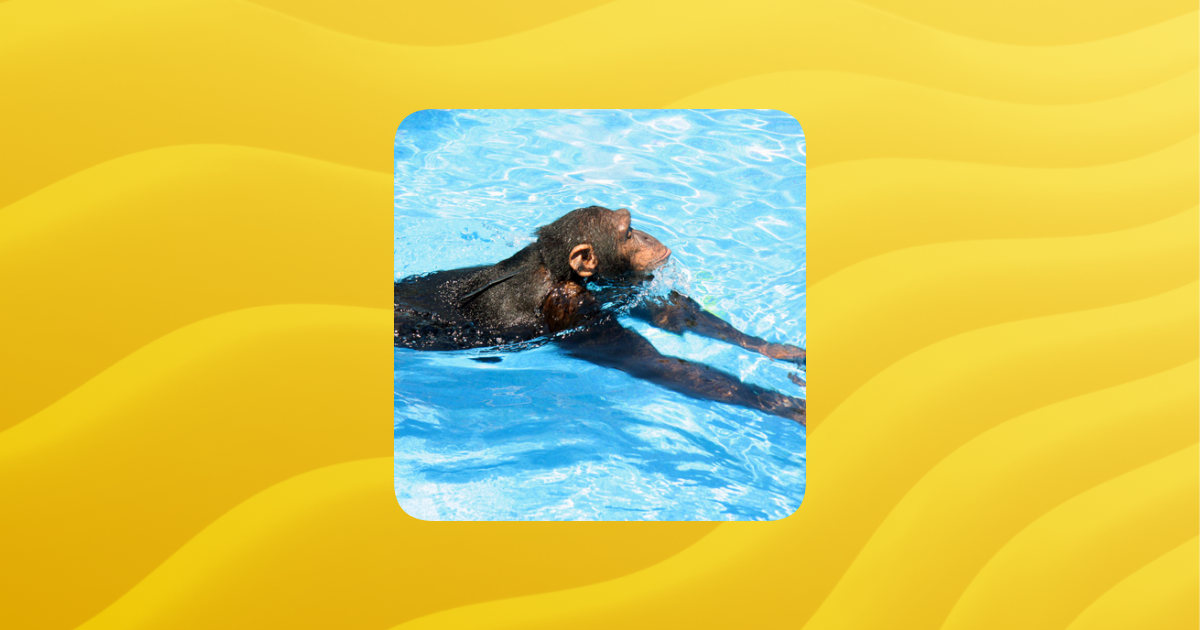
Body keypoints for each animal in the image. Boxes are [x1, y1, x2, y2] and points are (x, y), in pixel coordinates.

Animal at [394, 206, 806, 425]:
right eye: (627, 232)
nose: (646, 235)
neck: (558, 273)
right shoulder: (572, 309)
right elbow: (651, 362)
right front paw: (782, 404)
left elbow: (668, 313)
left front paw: (777, 351)